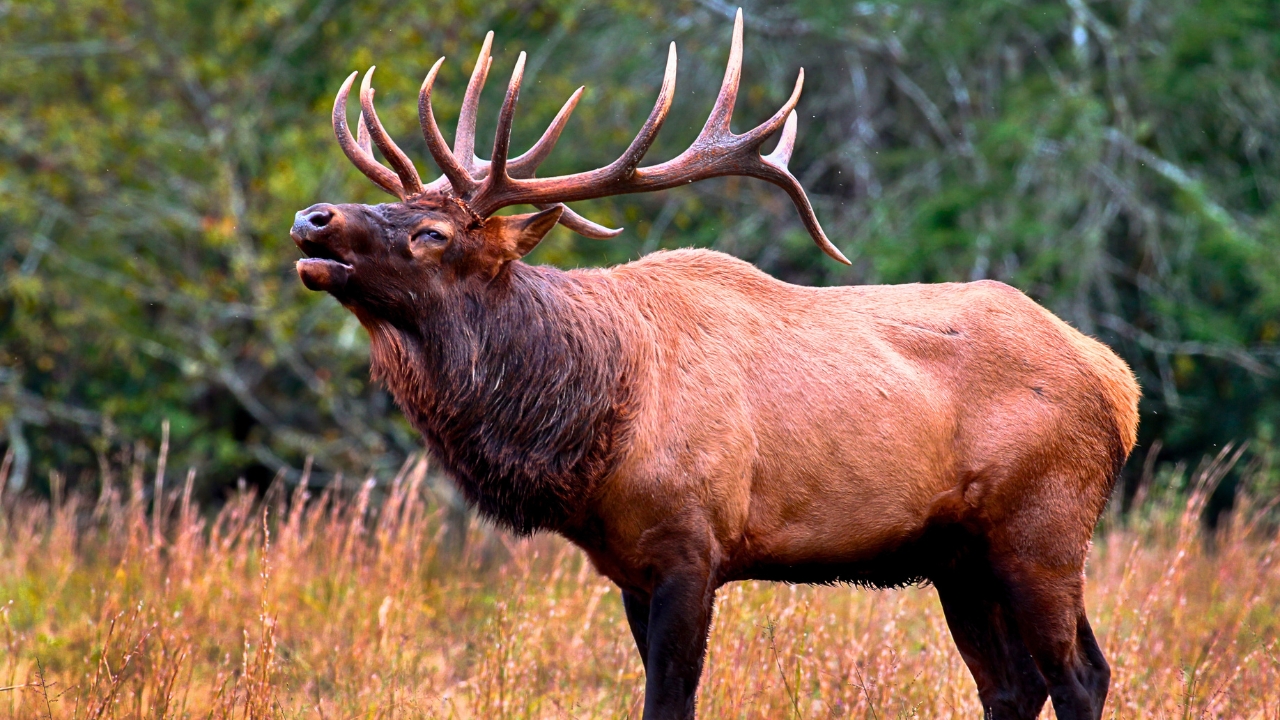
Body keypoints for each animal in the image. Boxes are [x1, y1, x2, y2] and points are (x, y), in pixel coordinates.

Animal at [289, 11, 1139, 720]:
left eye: (432, 232)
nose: (312, 217)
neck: (591, 427)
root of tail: (1117, 382)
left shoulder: (690, 542)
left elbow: (670, 703)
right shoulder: (629, 567)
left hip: (1044, 523)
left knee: (1080, 674)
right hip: (959, 555)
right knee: (1012, 685)